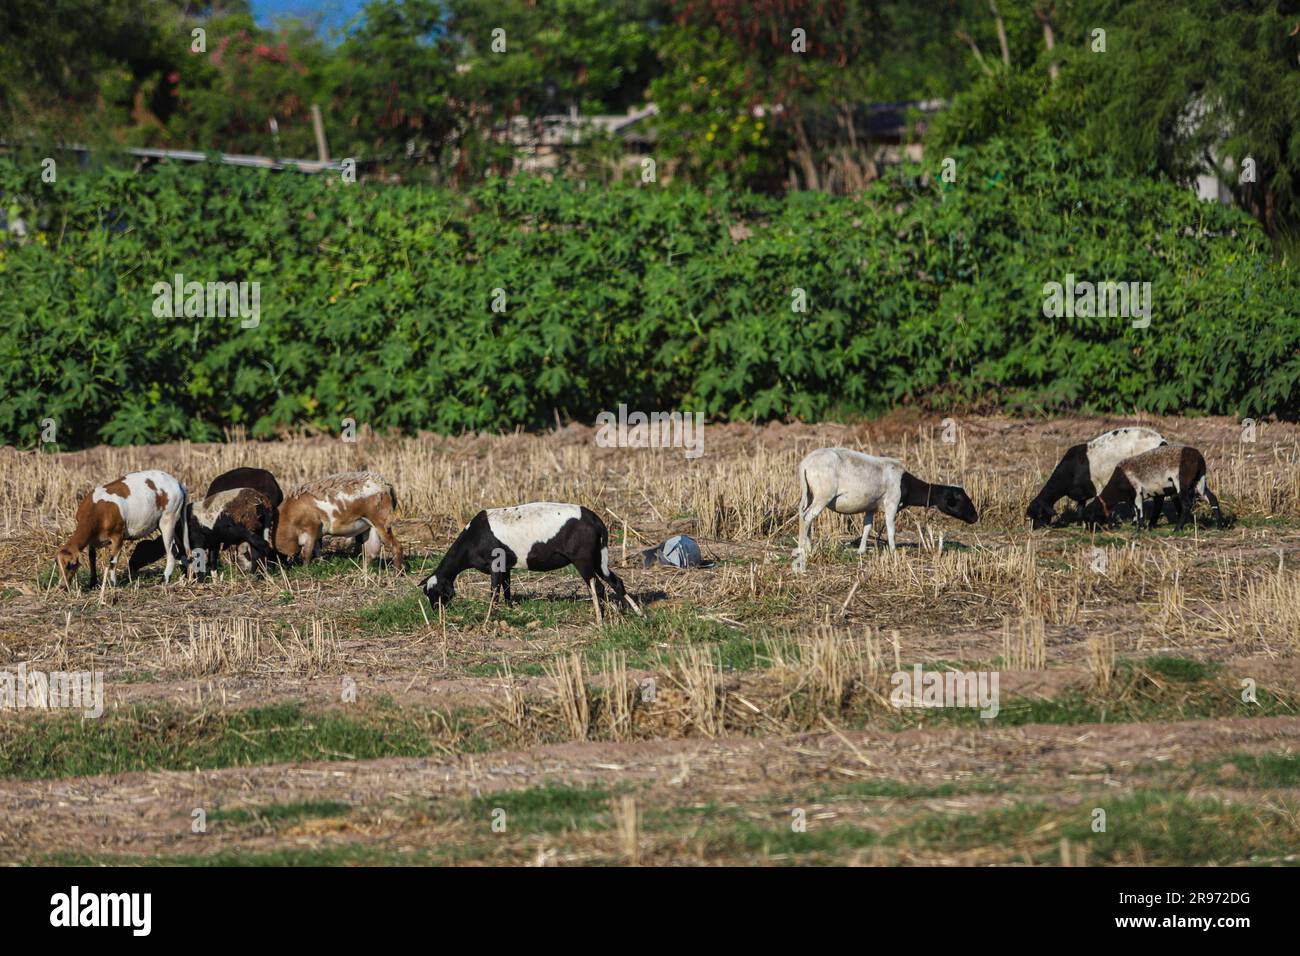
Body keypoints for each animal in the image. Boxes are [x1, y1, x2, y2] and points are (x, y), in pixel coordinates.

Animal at [55, 470, 189, 588]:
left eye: (70, 565)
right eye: (57, 564)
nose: (62, 586)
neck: (95, 511)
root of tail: (178, 484)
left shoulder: (118, 537)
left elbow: (112, 562)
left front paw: (113, 584)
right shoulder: (92, 541)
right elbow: (92, 560)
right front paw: (92, 583)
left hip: (168, 520)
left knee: (172, 551)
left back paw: (165, 579)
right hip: (178, 522)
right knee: (182, 548)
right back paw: (185, 575)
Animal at [419, 502, 642, 625]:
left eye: (436, 593)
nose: (436, 612)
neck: (472, 538)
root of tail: (596, 521)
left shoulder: (495, 564)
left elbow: (494, 592)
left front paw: (489, 616)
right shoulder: (506, 567)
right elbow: (507, 589)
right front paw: (509, 610)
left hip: (583, 560)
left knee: (598, 587)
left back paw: (599, 619)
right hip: (598, 559)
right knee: (616, 582)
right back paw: (638, 613)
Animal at [797, 448, 978, 555]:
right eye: (960, 499)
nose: (975, 517)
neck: (906, 483)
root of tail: (805, 464)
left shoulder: (871, 506)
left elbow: (867, 527)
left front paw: (861, 551)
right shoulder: (892, 503)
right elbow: (891, 529)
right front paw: (893, 551)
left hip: (810, 494)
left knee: (804, 516)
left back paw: (807, 546)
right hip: (823, 495)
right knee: (807, 517)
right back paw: (805, 550)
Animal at [1027, 427, 1166, 528]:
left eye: (1038, 514)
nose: (1035, 528)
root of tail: (1161, 441)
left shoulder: (1099, 487)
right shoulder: (1081, 494)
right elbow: (1080, 508)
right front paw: (1080, 524)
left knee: (1159, 499)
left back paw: (1150, 523)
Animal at [1082, 444, 1222, 531]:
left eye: (1089, 517)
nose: (1089, 530)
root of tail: (1198, 457)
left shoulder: (1137, 492)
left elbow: (1140, 513)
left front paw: (1139, 530)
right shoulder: (1148, 494)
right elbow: (1145, 510)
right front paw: (1147, 527)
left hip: (1181, 481)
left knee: (1187, 504)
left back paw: (1177, 529)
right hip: (1199, 480)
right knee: (1212, 498)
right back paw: (1220, 525)